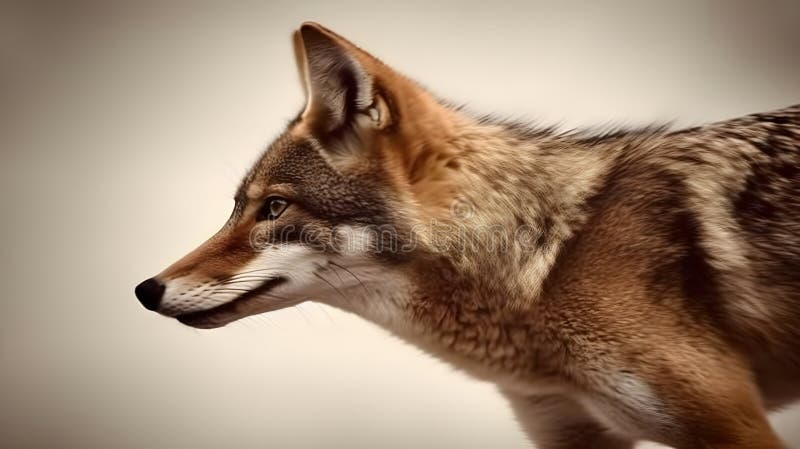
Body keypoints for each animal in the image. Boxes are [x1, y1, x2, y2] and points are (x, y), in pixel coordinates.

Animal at [135, 22, 800, 448]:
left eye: (273, 207)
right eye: (238, 208)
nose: (145, 290)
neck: (546, 261)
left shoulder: (732, 426)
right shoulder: (571, 435)